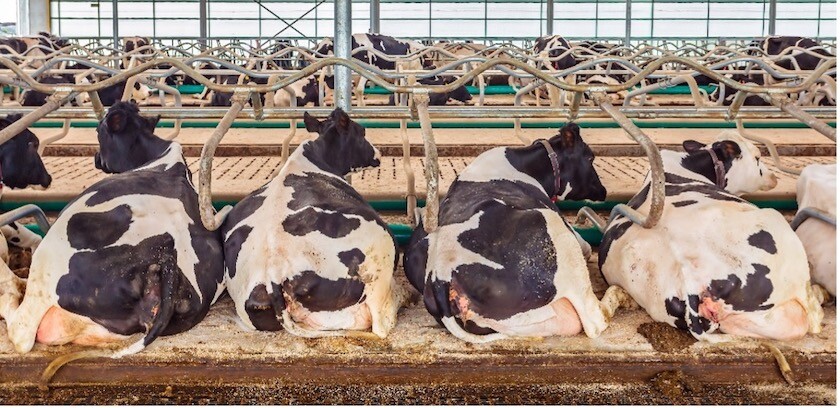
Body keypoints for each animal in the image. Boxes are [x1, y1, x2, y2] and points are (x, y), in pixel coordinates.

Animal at [0, 102, 226, 360]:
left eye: (100, 131)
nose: (97, 157)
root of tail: (164, 255)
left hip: (49, 262)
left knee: (22, 332)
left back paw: (12, 287)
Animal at [403, 123, 633, 343]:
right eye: (590, 157)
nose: (603, 191)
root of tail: (438, 274)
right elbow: (584, 245)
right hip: (554, 236)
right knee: (595, 320)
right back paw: (620, 294)